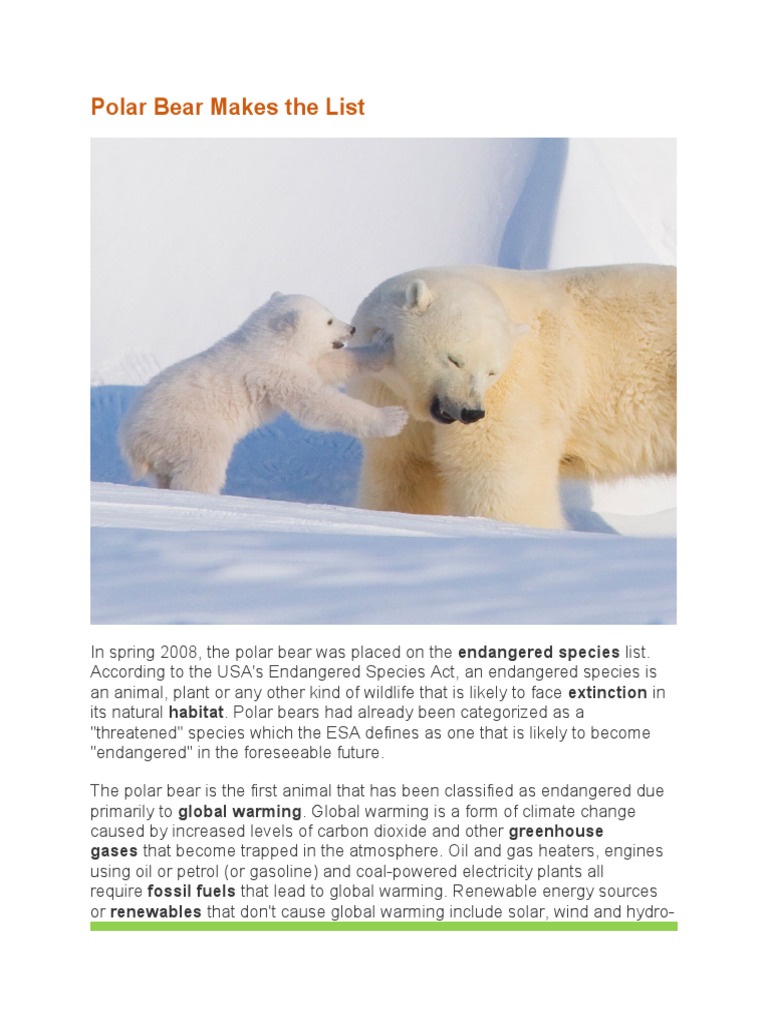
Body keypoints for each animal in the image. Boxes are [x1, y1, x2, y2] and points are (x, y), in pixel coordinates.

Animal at [119, 292, 408, 495]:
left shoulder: (294, 363)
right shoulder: (274, 372)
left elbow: (330, 365)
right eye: (328, 320)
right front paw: (394, 418)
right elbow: (317, 405)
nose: (351, 329)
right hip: (189, 429)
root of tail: (133, 441)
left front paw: (383, 344)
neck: (266, 343)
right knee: (201, 465)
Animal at [348, 264, 676, 529]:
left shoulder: (518, 386)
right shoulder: (386, 392)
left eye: (492, 371)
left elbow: (496, 468)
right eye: (454, 360)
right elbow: (404, 469)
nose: (471, 412)